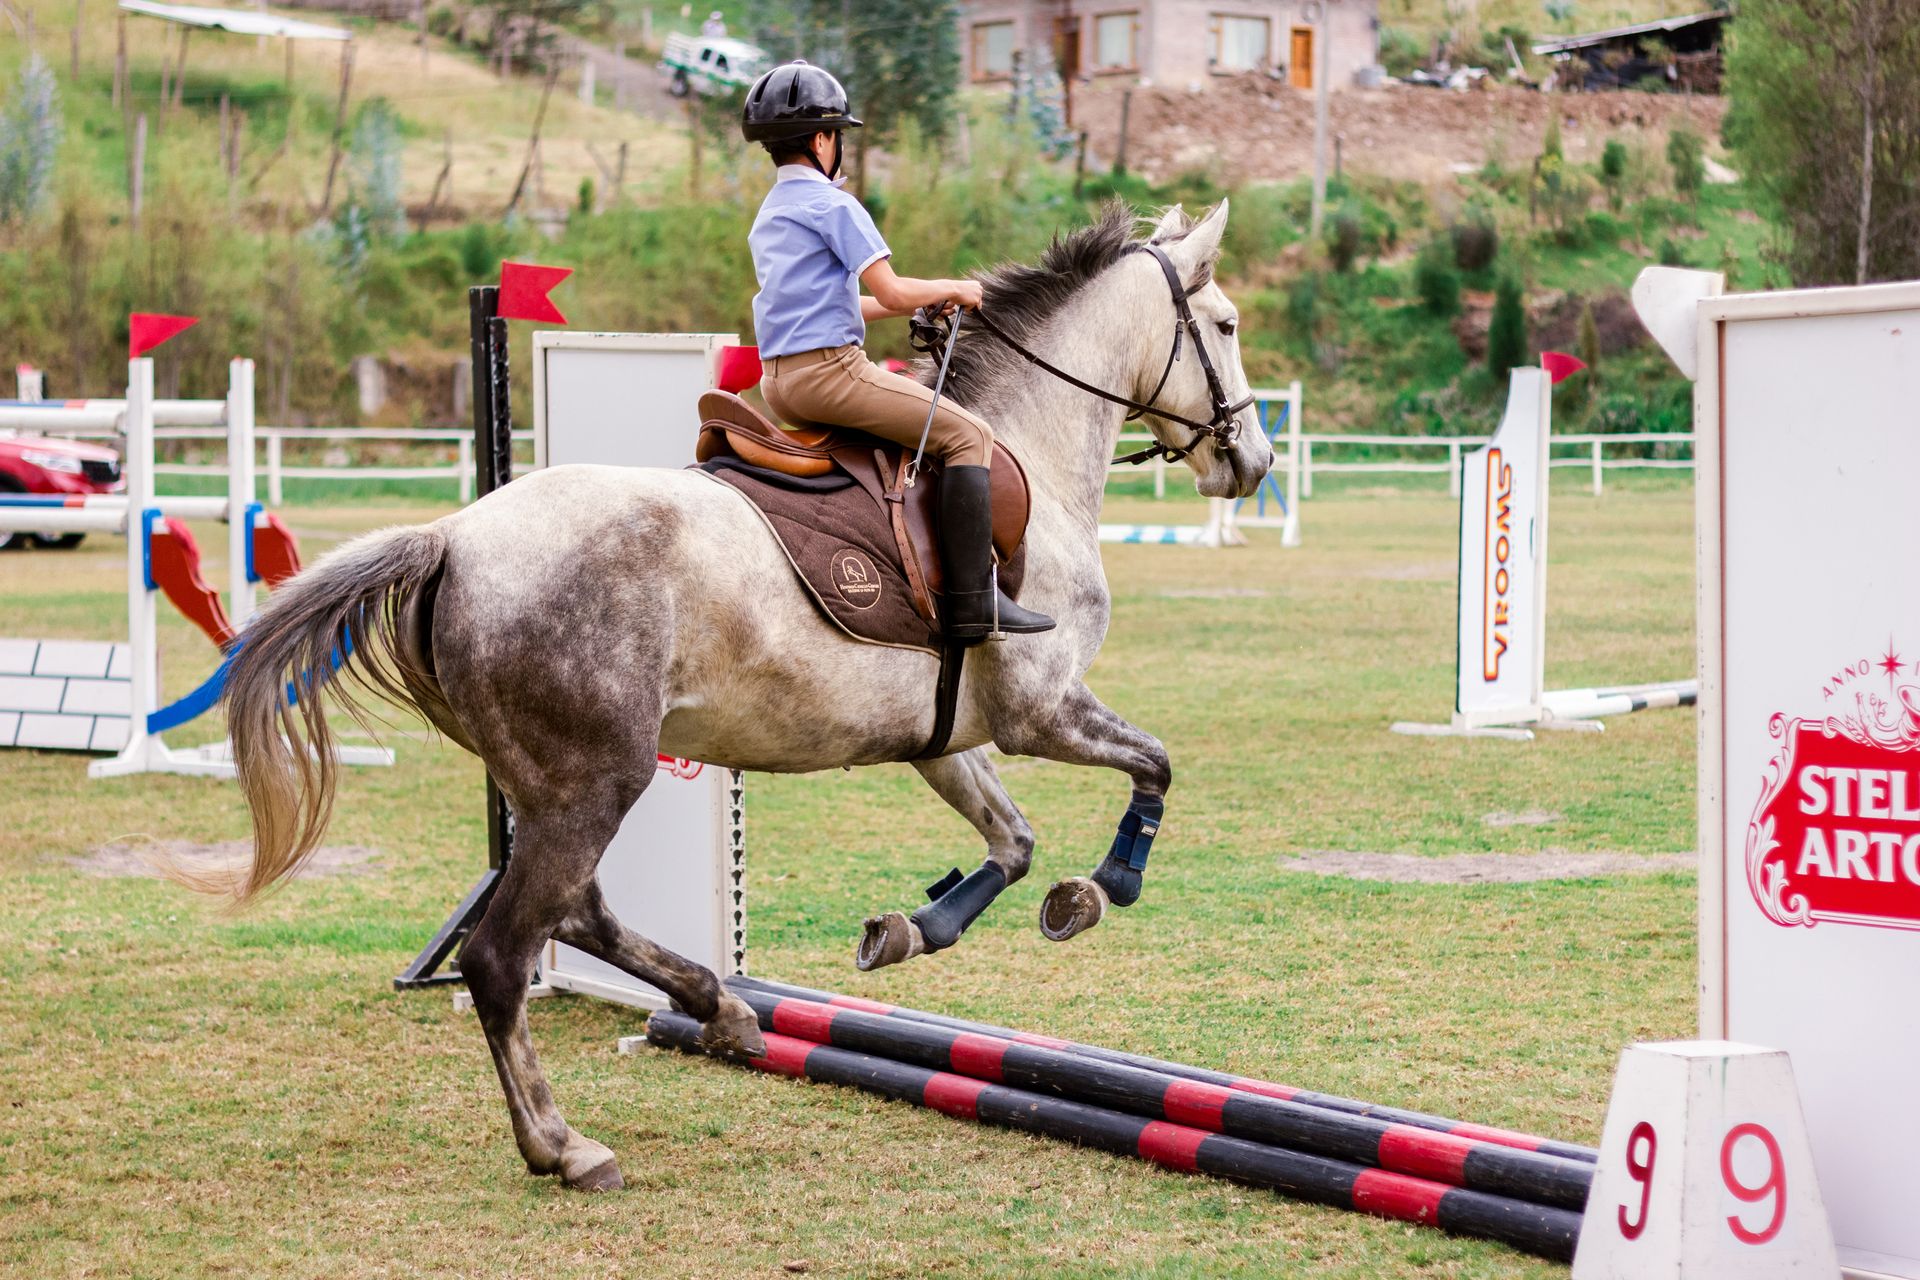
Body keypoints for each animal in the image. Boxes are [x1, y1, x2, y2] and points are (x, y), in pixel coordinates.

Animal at [178, 200, 1272, 1191]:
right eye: (1223, 326)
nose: (1253, 461)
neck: (1025, 454)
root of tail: (453, 537)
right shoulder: (1041, 710)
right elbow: (1154, 765)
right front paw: (1103, 886)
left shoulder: (943, 733)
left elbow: (1012, 840)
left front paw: (914, 930)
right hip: (595, 780)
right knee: (505, 953)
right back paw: (565, 1143)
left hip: (551, 781)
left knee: (577, 915)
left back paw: (723, 1009)